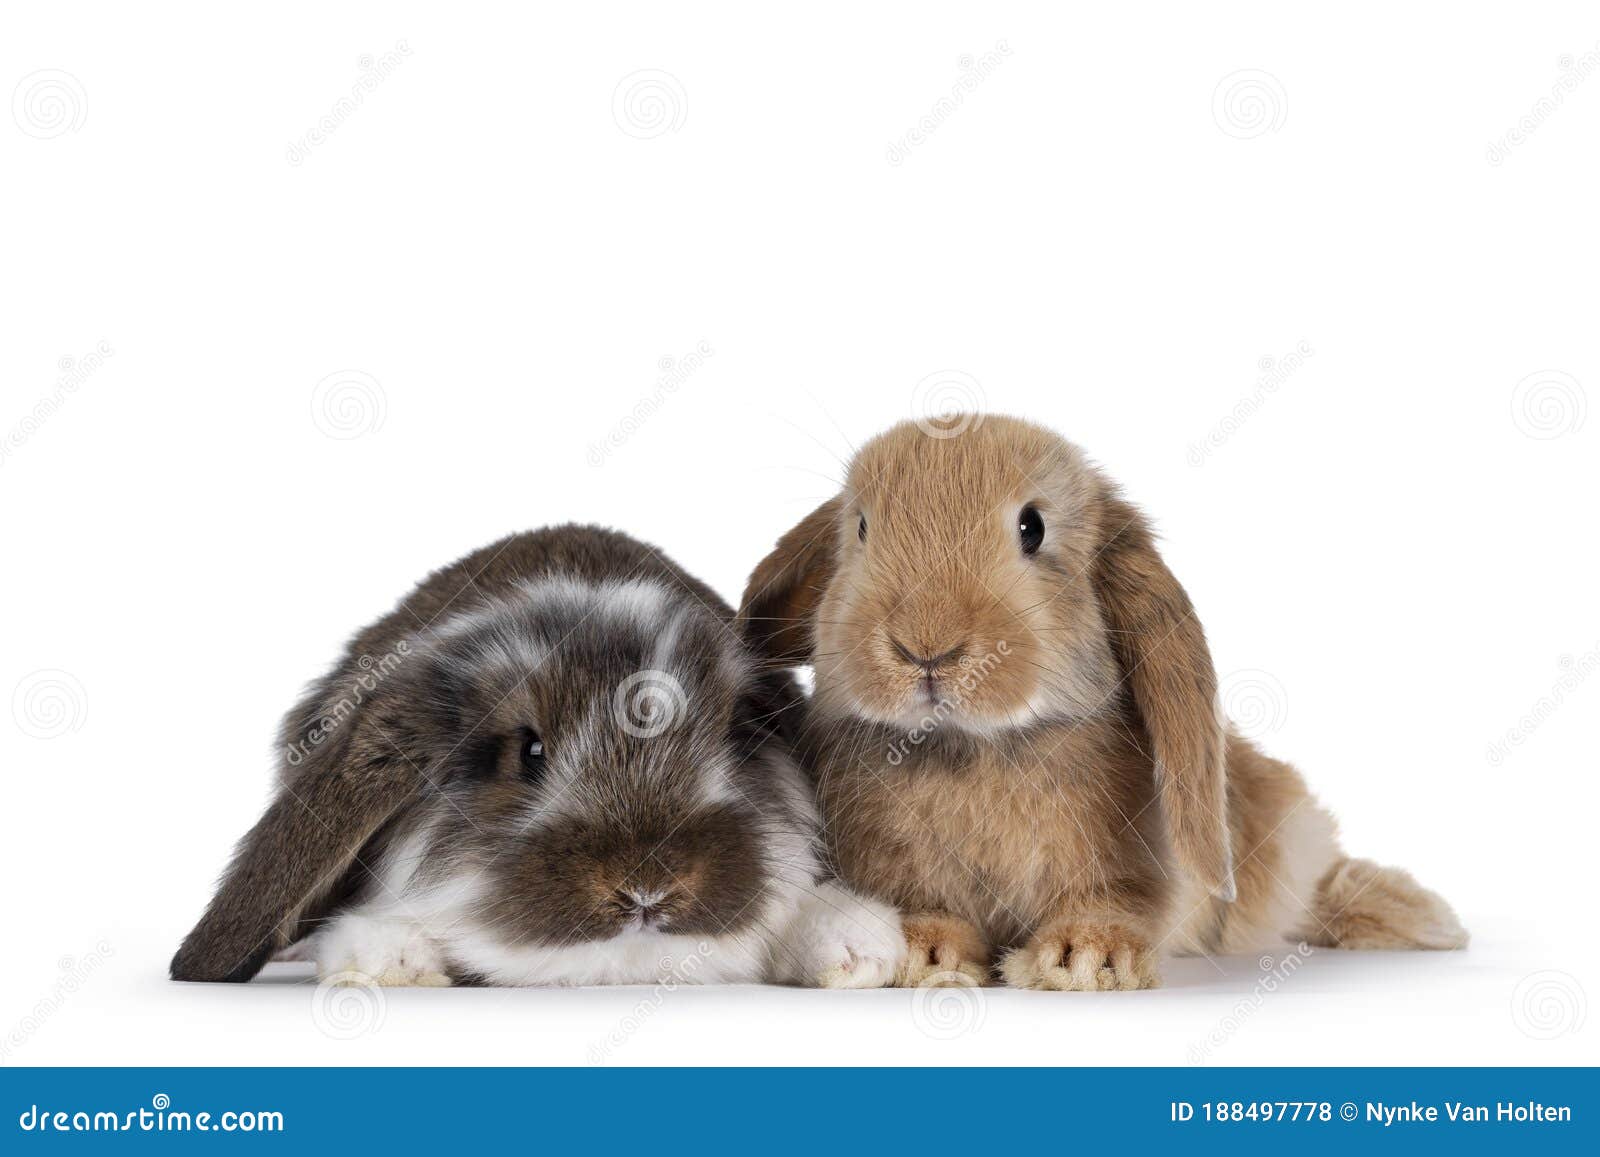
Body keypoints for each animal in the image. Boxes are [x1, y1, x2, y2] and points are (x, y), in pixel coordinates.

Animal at [736, 414, 1467, 991]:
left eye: (1032, 527)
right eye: (861, 528)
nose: (926, 646)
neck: (973, 746)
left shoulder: (1133, 870)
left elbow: (1116, 904)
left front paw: (1084, 957)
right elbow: (924, 910)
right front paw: (925, 950)